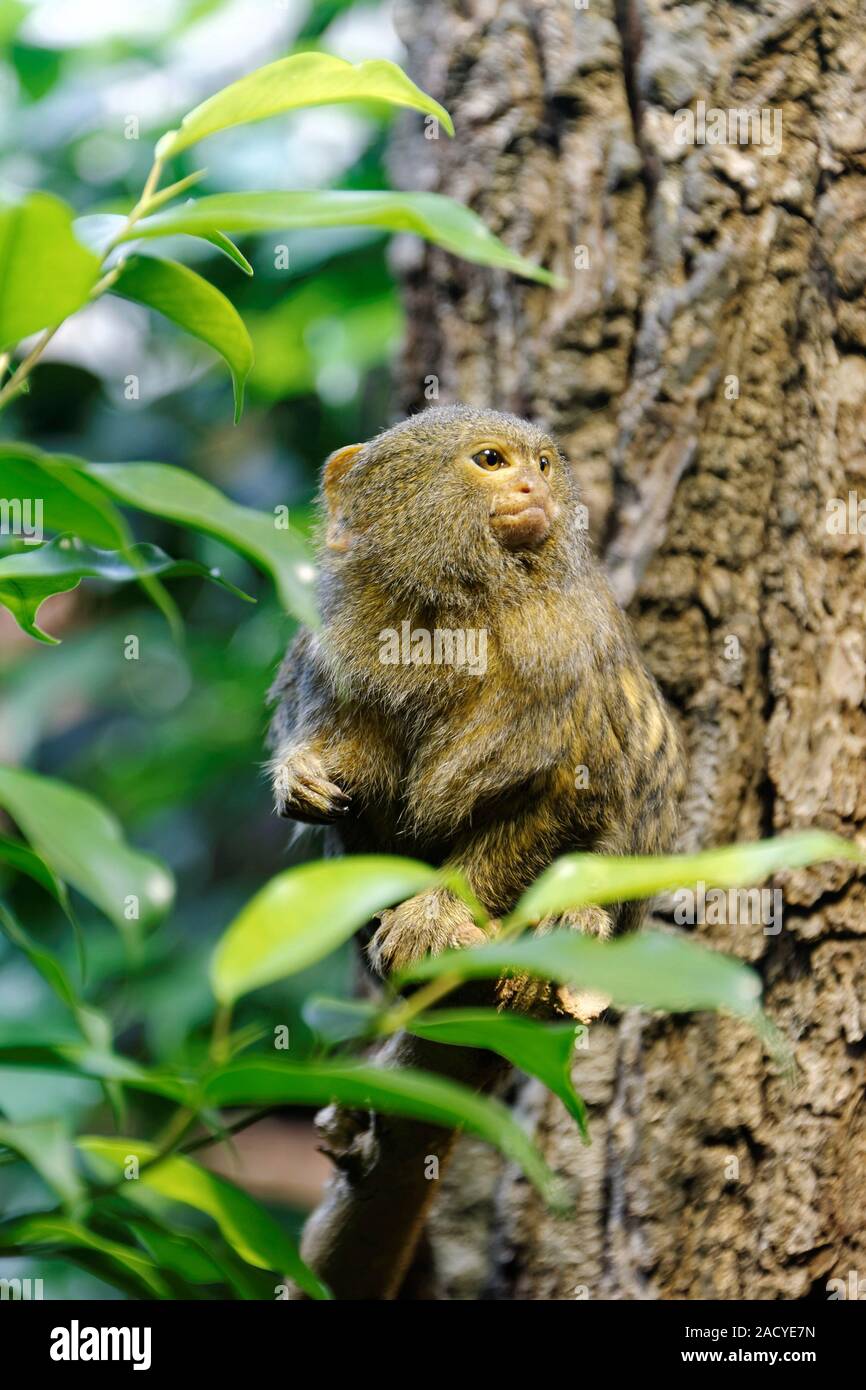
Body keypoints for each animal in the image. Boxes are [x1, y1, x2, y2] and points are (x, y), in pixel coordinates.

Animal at [267, 405, 686, 1021]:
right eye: (491, 460)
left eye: (543, 464)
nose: (534, 487)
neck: (455, 607)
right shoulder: (334, 648)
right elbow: (348, 766)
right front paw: (300, 773)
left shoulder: (565, 666)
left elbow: (563, 794)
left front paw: (433, 914)